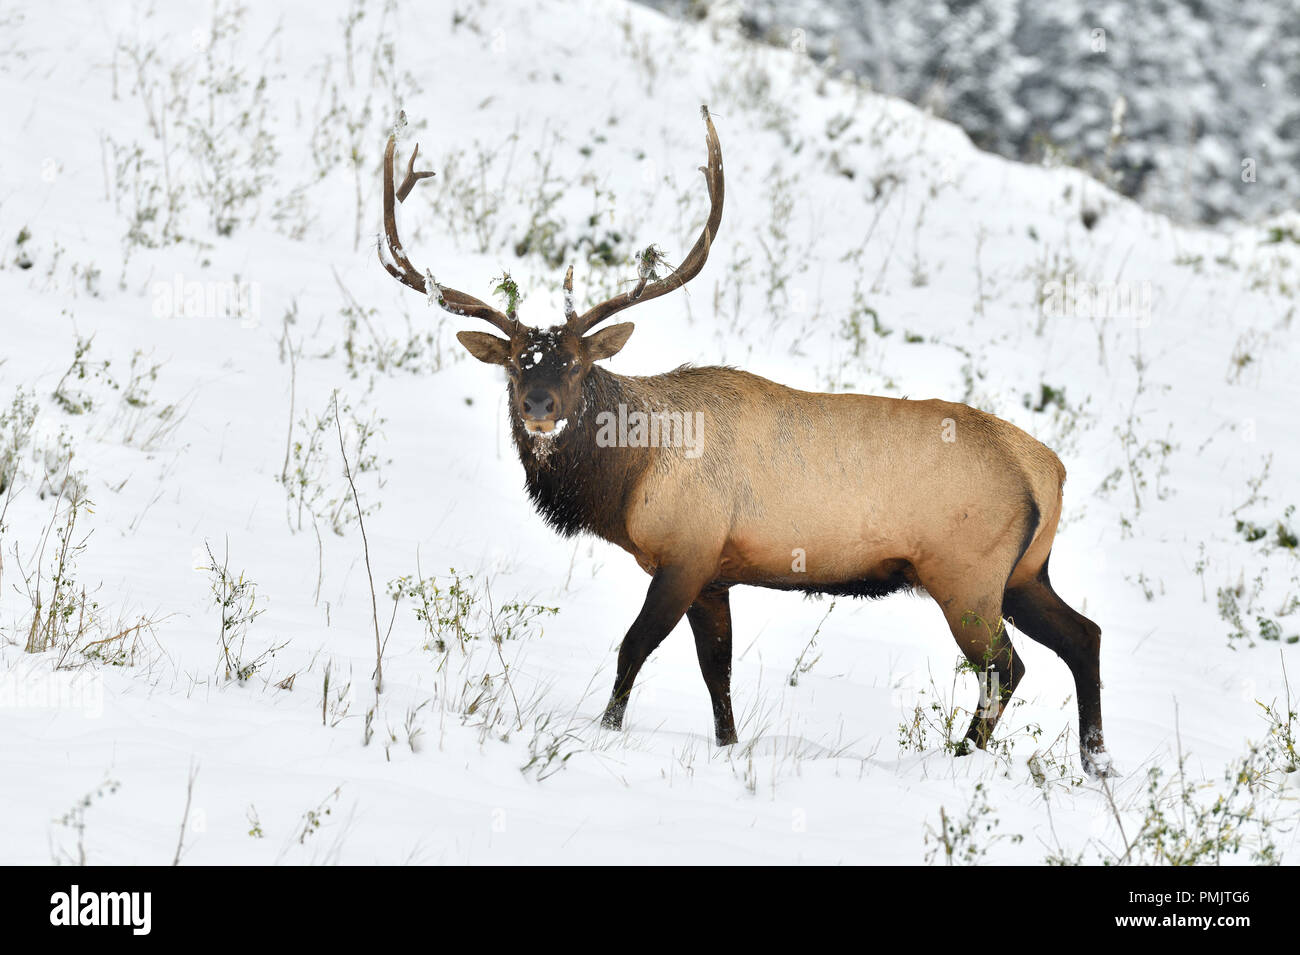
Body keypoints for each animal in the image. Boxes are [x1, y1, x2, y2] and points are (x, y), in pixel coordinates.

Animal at [378, 106, 1114, 778]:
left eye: (578, 365)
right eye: (512, 365)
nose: (539, 408)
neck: (630, 476)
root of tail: (1049, 470)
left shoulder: (687, 551)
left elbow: (632, 649)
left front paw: (607, 729)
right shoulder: (715, 573)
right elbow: (718, 673)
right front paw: (728, 747)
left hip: (967, 572)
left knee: (1006, 667)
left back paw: (963, 757)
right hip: (1024, 572)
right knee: (1084, 634)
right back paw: (1095, 760)